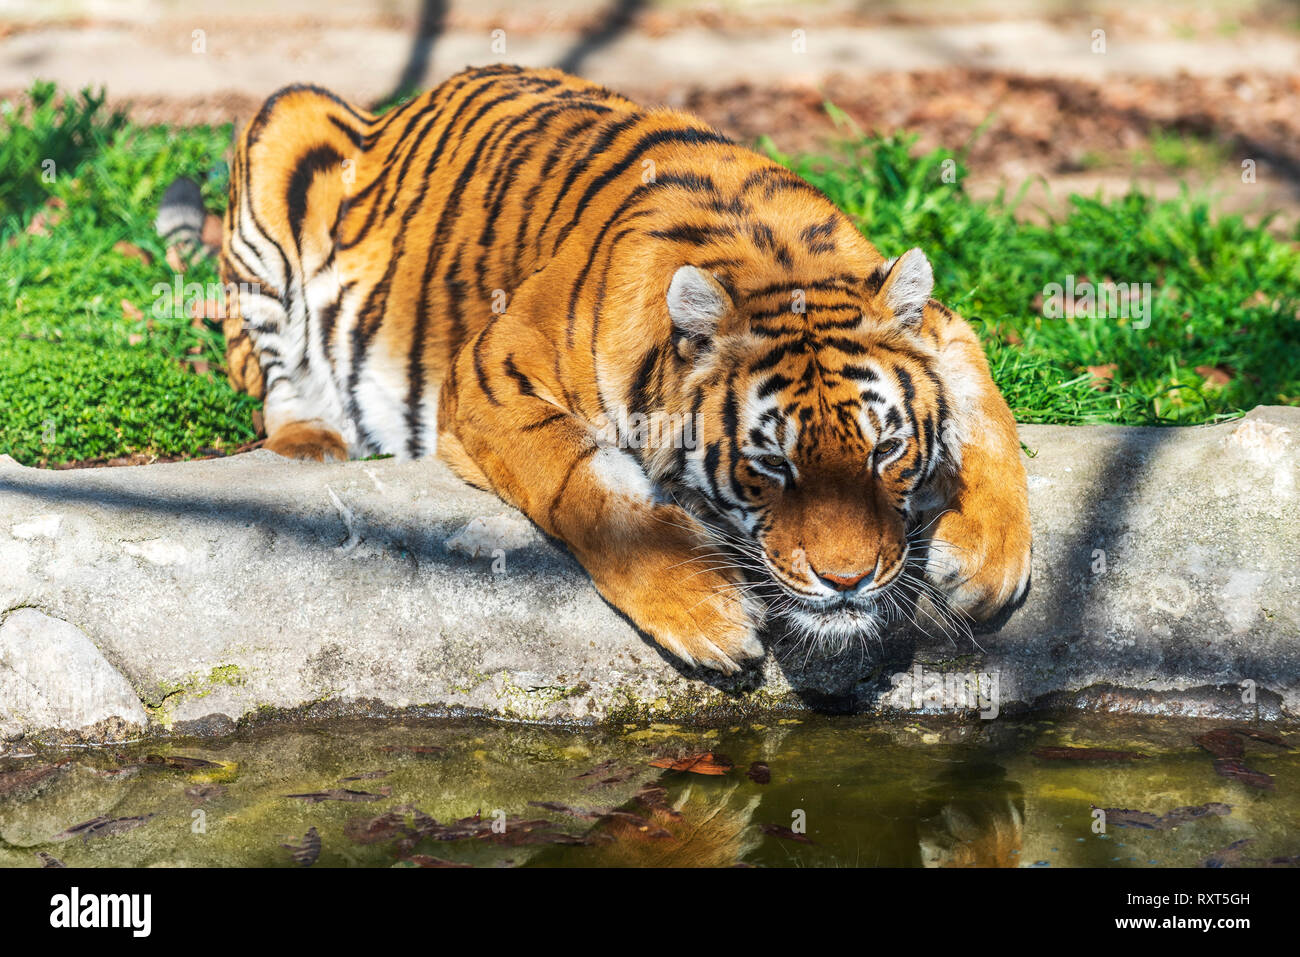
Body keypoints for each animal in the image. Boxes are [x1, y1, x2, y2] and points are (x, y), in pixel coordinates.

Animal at [218, 64, 1032, 674]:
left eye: (886, 449)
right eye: (773, 462)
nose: (847, 580)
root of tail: (404, 104)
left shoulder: (947, 326)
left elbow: (990, 416)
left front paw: (986, 562)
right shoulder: (491, 371)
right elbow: (579, 478)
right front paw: (705, 609)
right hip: (284, 129)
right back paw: (313, 442)